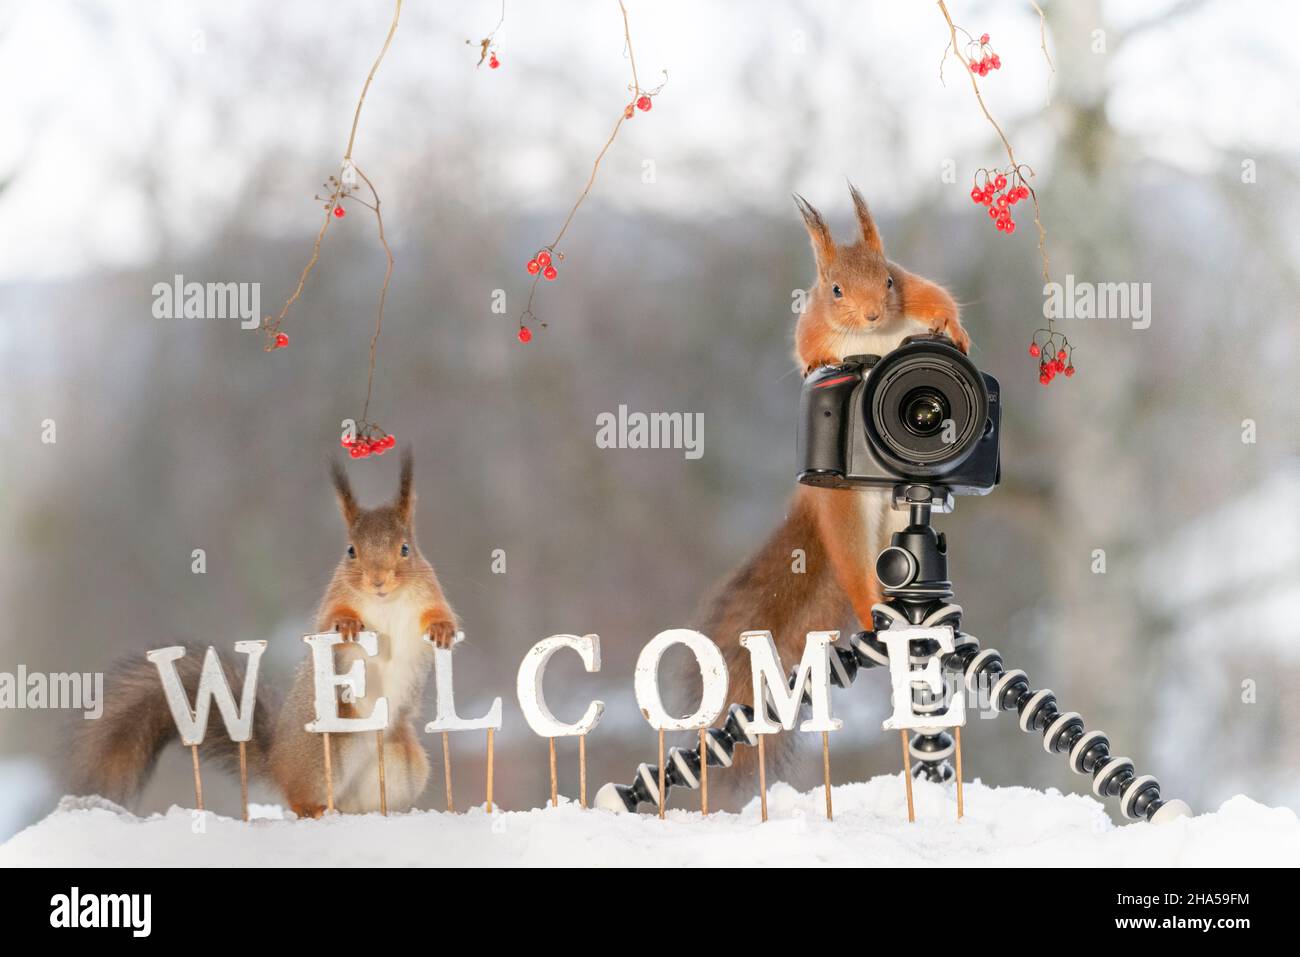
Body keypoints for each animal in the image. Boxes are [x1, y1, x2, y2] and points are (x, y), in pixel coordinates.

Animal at [72, 448, 460, 818]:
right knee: (299, 797)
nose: (378, 581)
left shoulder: (430, 594)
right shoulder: (333, 598)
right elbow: (330, 620)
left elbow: (441, 616)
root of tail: (277, 762)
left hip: (404, 763)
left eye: (405, 549)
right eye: (351, 551)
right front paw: (348, 626)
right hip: (322, 754)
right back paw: (313, 809)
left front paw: (442, 631)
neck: (385, 603)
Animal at [695, 185, 969, 791]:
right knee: (858, 569)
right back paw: (874, 614)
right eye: (835, 289)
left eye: (888, 279)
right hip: (845, 515)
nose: (871, 313)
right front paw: (822, 364)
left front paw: (956, 334)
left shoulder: (916, 290)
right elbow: (807, 352)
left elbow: (941, 300)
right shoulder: (813, 325)